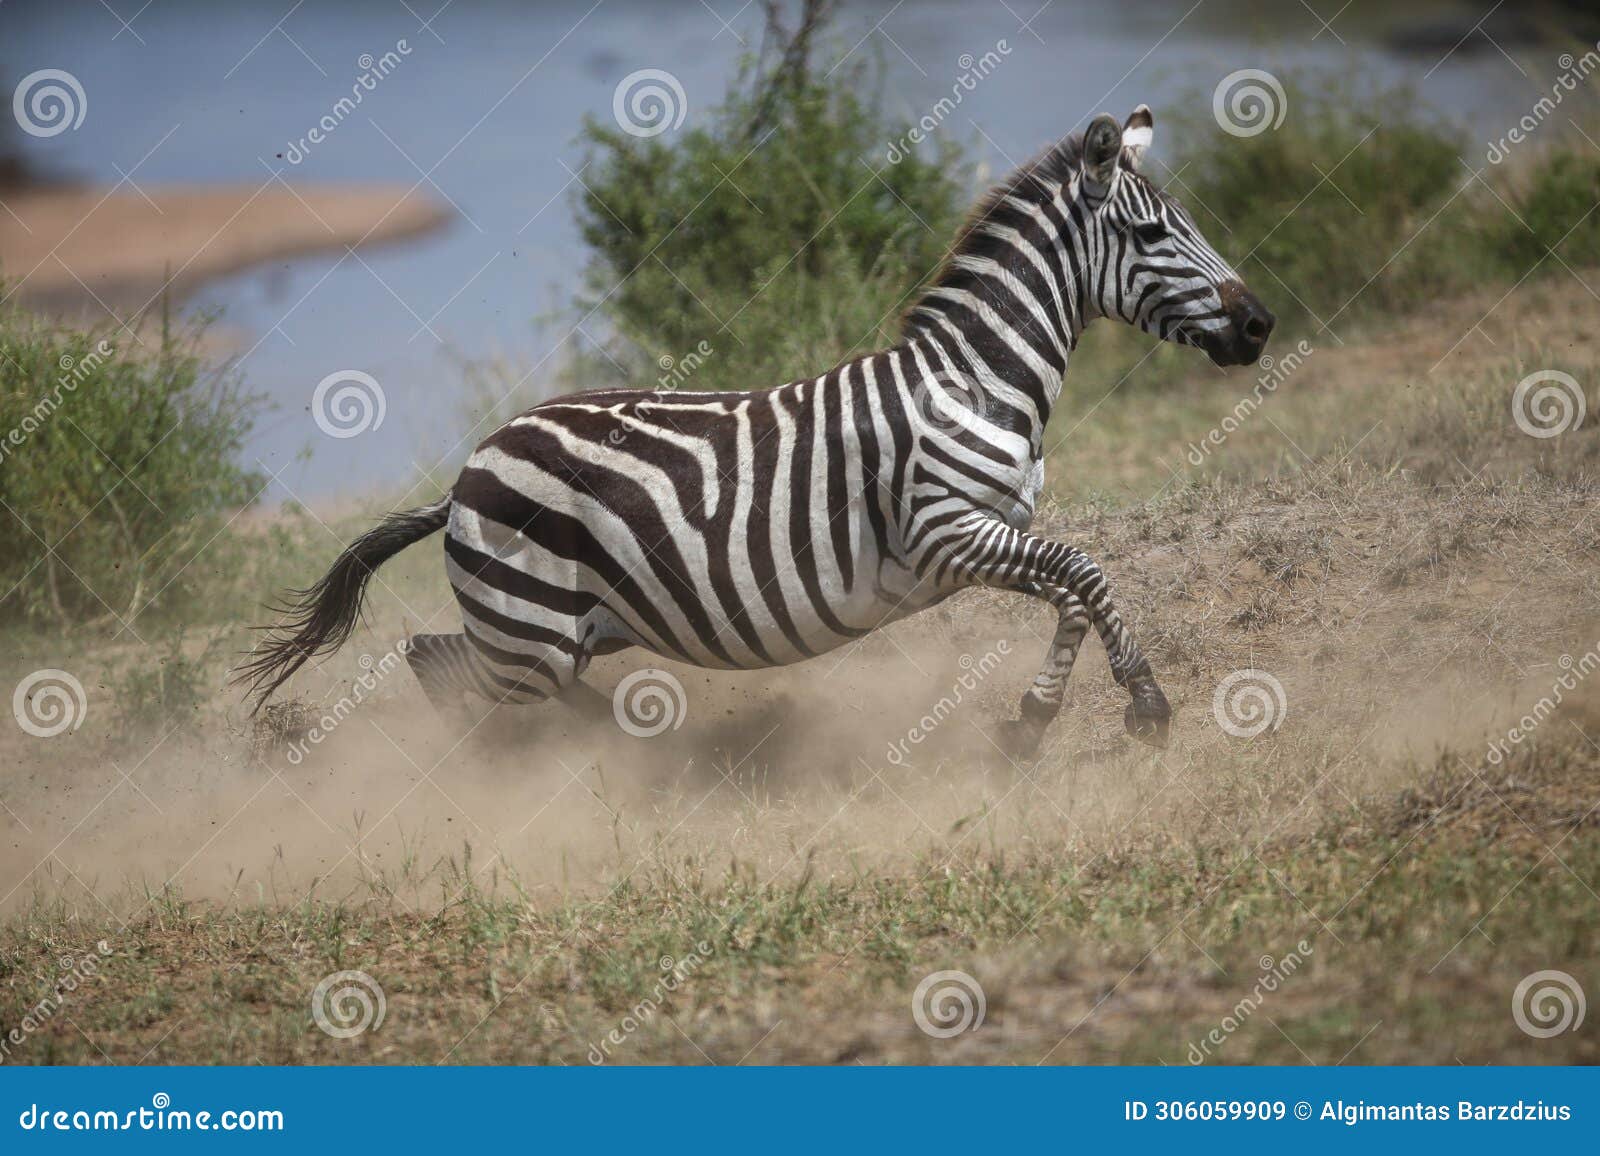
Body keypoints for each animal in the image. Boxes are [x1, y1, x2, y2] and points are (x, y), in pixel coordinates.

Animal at [238, 106, 1273, 759]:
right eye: (1153, 236)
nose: (1261, 325)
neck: (974, 381)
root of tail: (464, 472)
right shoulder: (946, 533)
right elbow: (1086, 573)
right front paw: (1149, 706)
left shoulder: (991, 538)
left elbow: (1070, 593)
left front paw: (1028, 722)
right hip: (530, 630)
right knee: (453, 673)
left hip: (570, 627)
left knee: (447, 664)